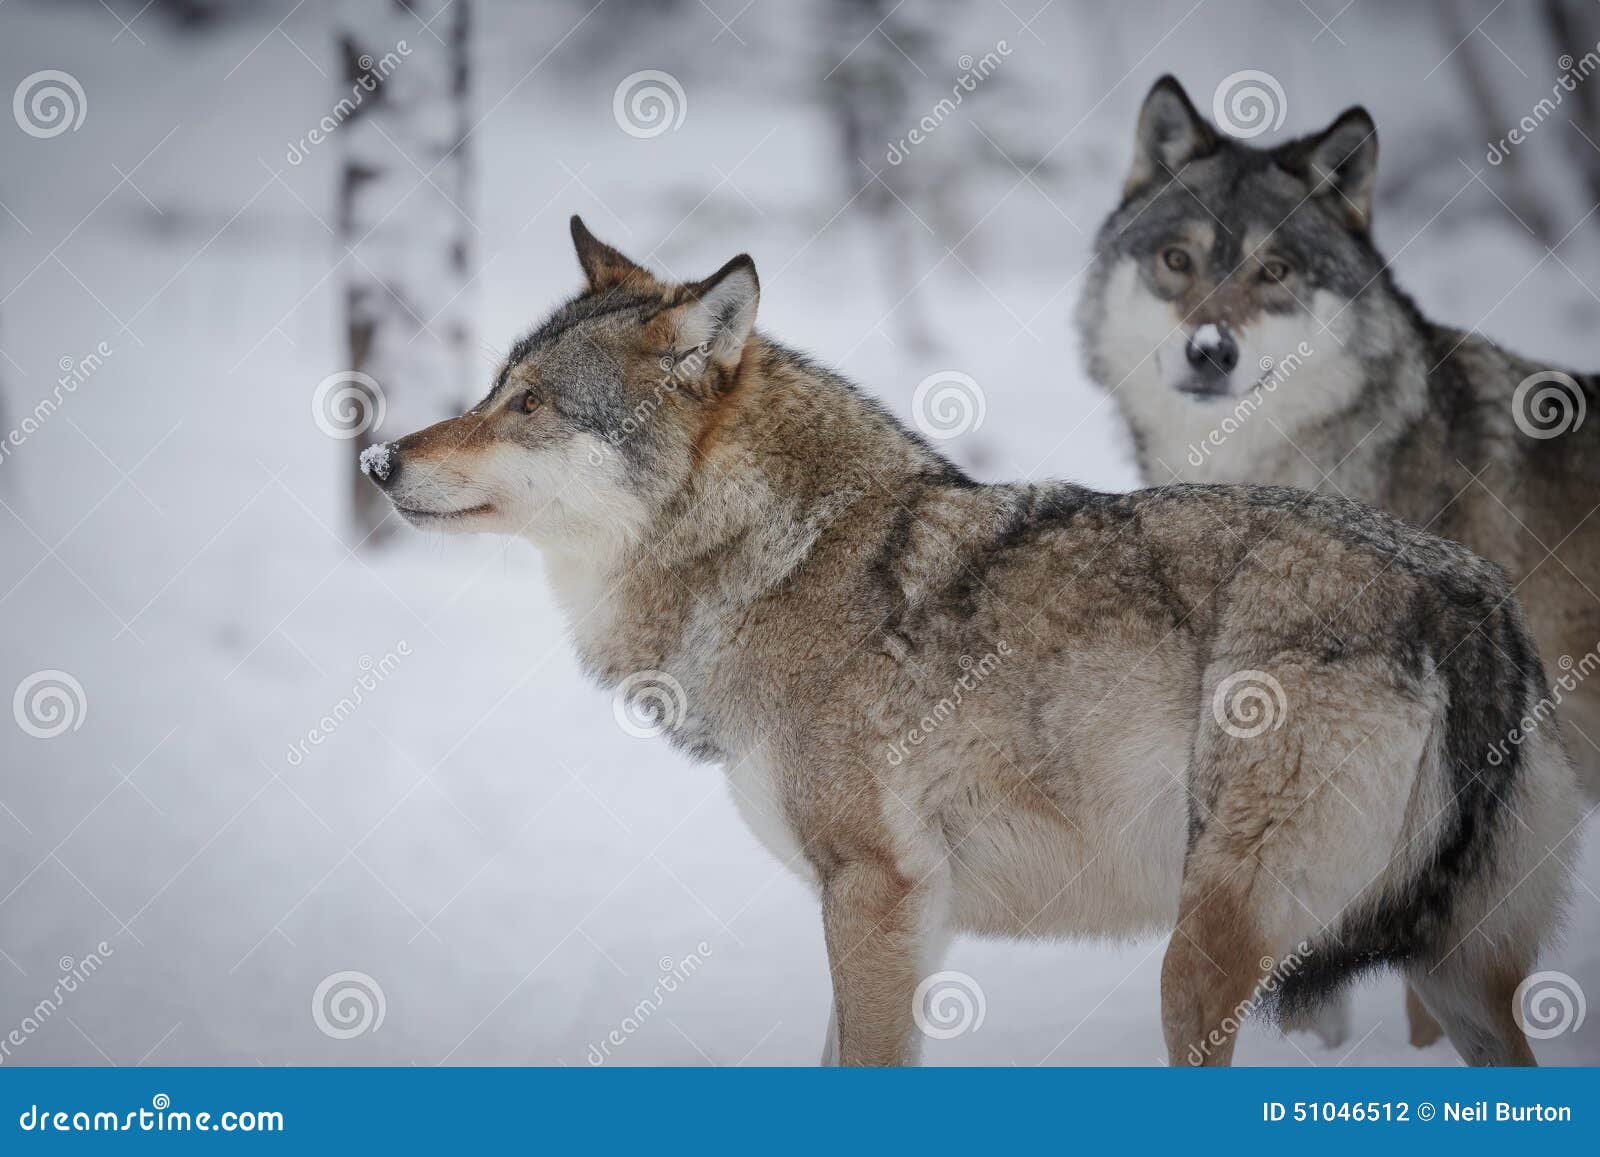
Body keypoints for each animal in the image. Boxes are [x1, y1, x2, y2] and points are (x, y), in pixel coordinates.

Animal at [362, 217, 1578, 1066]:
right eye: (493, 387)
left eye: (528, 405)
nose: (376, 460)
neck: (778, 558)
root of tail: (1465, 596)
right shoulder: (900, 917)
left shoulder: (877, 896)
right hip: (1460, 972)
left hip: (1201, 960)